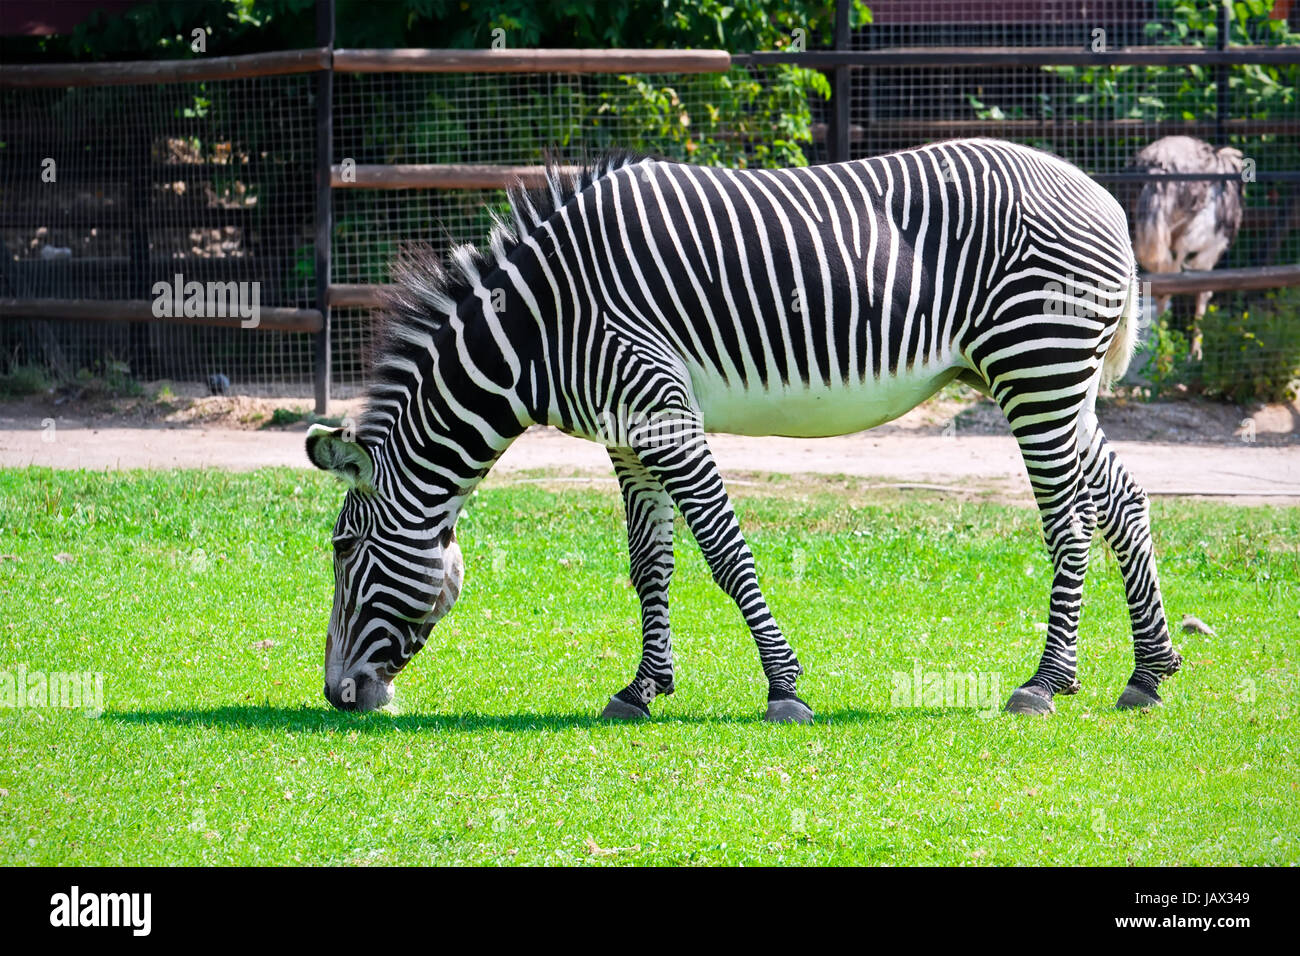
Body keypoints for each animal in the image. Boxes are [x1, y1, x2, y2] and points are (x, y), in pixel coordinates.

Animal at [306, 138, 1182, 720]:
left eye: (342, 551)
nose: (339, 697)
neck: (538, 328)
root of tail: (1101, 194)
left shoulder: (662, 413)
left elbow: (727, 555)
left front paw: (783, 687)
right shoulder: (627, 433)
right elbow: (649, 566)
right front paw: (642, 688)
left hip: (1036, 367)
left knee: (1070, 523)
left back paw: (1046, 682)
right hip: (1051, 379)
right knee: (1123, 501)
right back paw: (1146, 673)